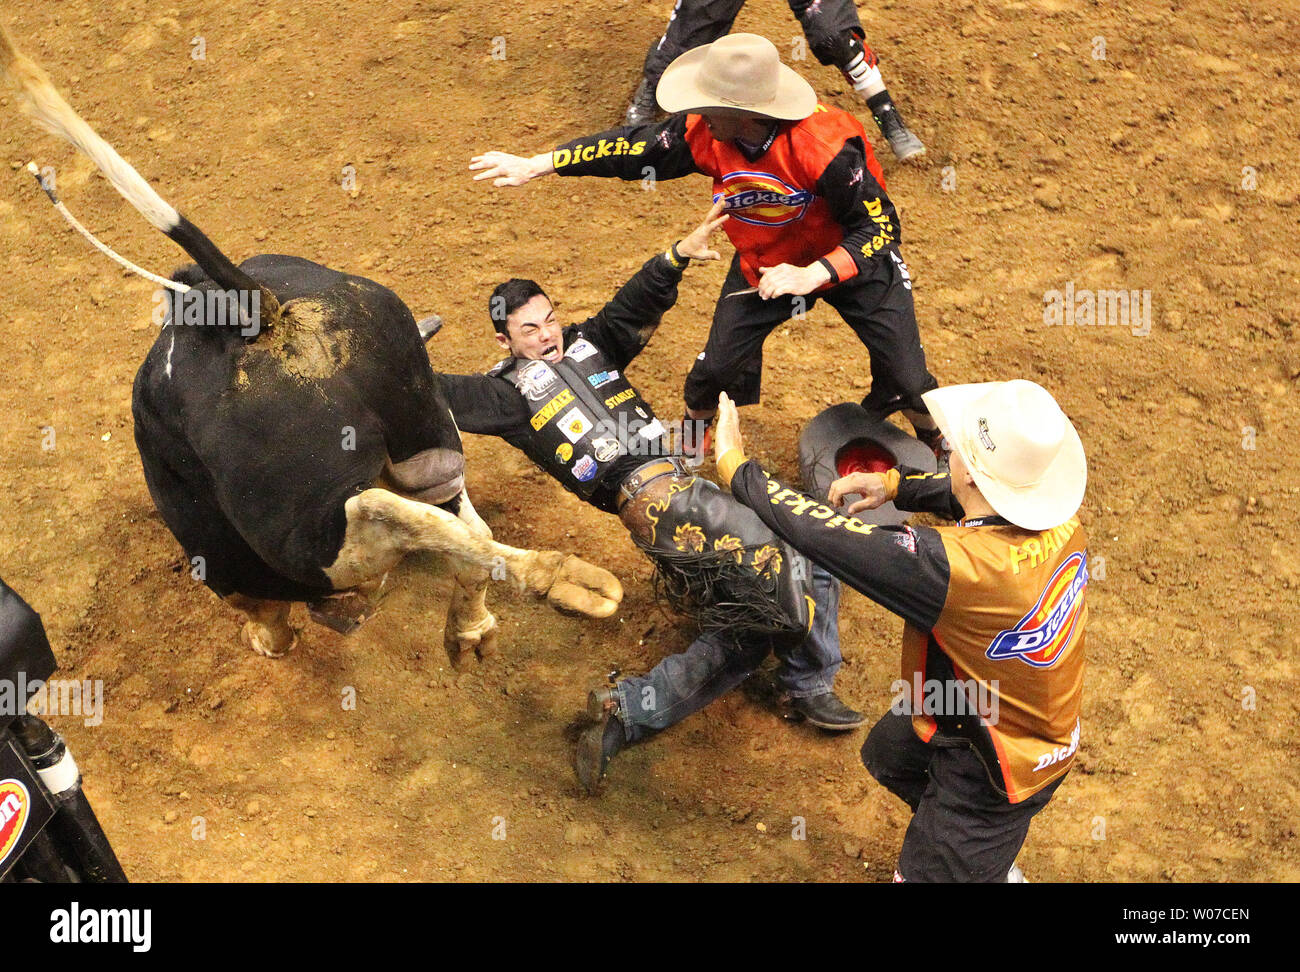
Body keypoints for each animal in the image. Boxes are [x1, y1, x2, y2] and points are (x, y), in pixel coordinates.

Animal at [0, 26, 622, 664]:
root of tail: (259, 312)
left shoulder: (229, 566)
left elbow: (260, 607)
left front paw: (268, 639)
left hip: (300, 531)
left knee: (379, 517)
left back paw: (553, 577)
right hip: (424, 430)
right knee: (457, 517)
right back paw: (500, 611)